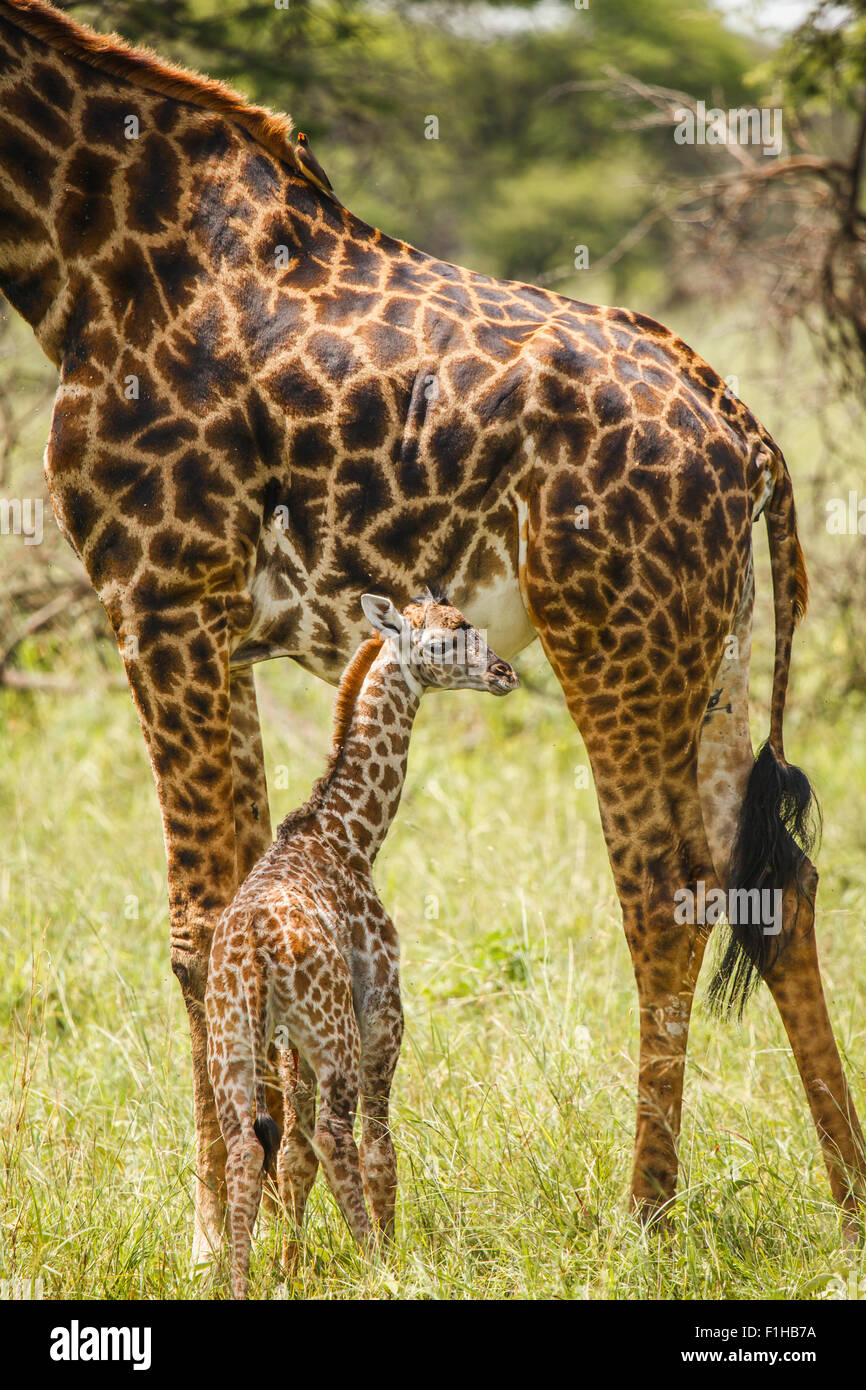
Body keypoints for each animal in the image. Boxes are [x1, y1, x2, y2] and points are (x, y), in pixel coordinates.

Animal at [206, 590, 519, 1298]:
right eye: (449, 635)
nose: (505, 673)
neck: (350, 835)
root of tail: (254, 945)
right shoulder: (382, 1006)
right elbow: (378, 1142)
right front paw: (394, 1254)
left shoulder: (289, 1043)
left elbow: (292, 1155)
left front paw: (289, 1270)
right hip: (336, 1032)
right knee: (338, 1132)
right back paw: (376, 1262)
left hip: (234, 1039)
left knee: (251, 1144)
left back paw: (240, 1282)